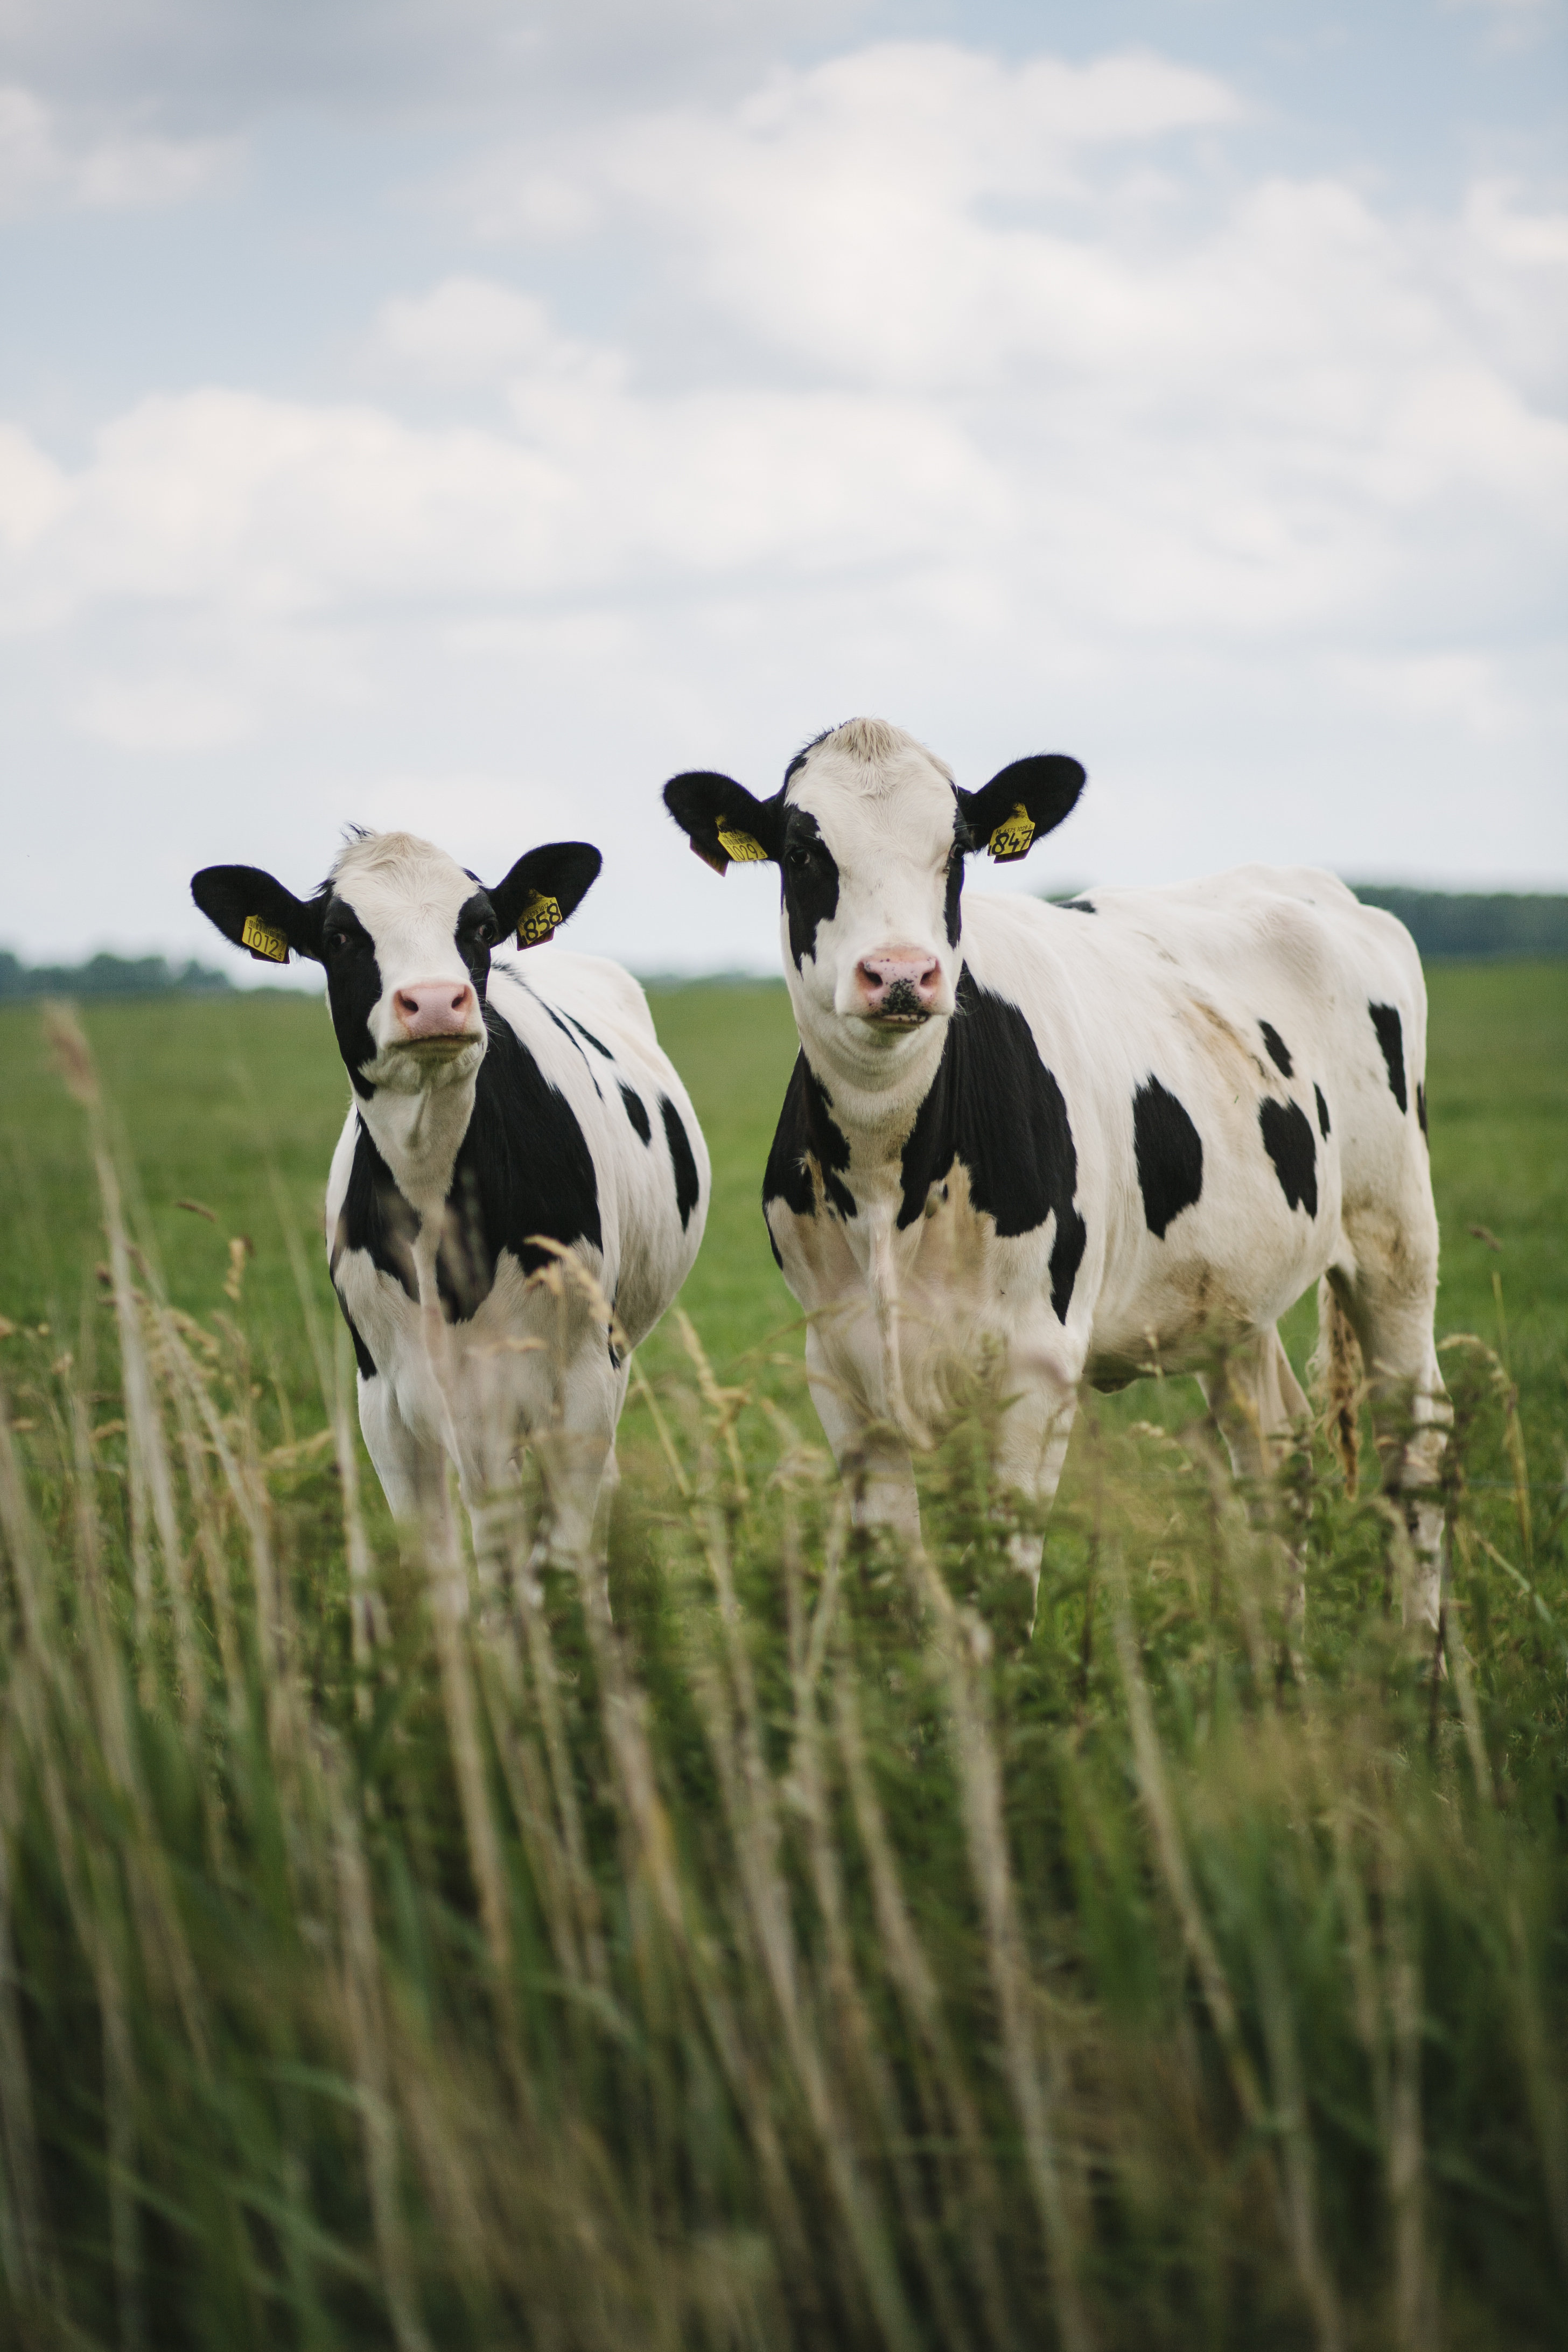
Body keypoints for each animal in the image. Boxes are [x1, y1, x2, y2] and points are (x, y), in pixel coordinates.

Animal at [191, 827, 709, 1569]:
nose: (436, 1000)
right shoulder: (385, 1403)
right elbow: (439, 1564)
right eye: (340, 936)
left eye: (482, 927)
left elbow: (557, 1553)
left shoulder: (580, 1383)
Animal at [664, 716, 1448, 1634]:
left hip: (1395, 1239)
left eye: (958, 849)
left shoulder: (1034, 1368)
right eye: (800, 849)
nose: (901, 974)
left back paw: (1419, 1651)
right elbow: (893, 1599)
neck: (890, 1178)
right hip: (1233, 1298)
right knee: (1277, 1455)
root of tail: (1313, 885)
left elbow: (1001, 1604)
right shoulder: (842, 1368)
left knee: (1417, 1445)